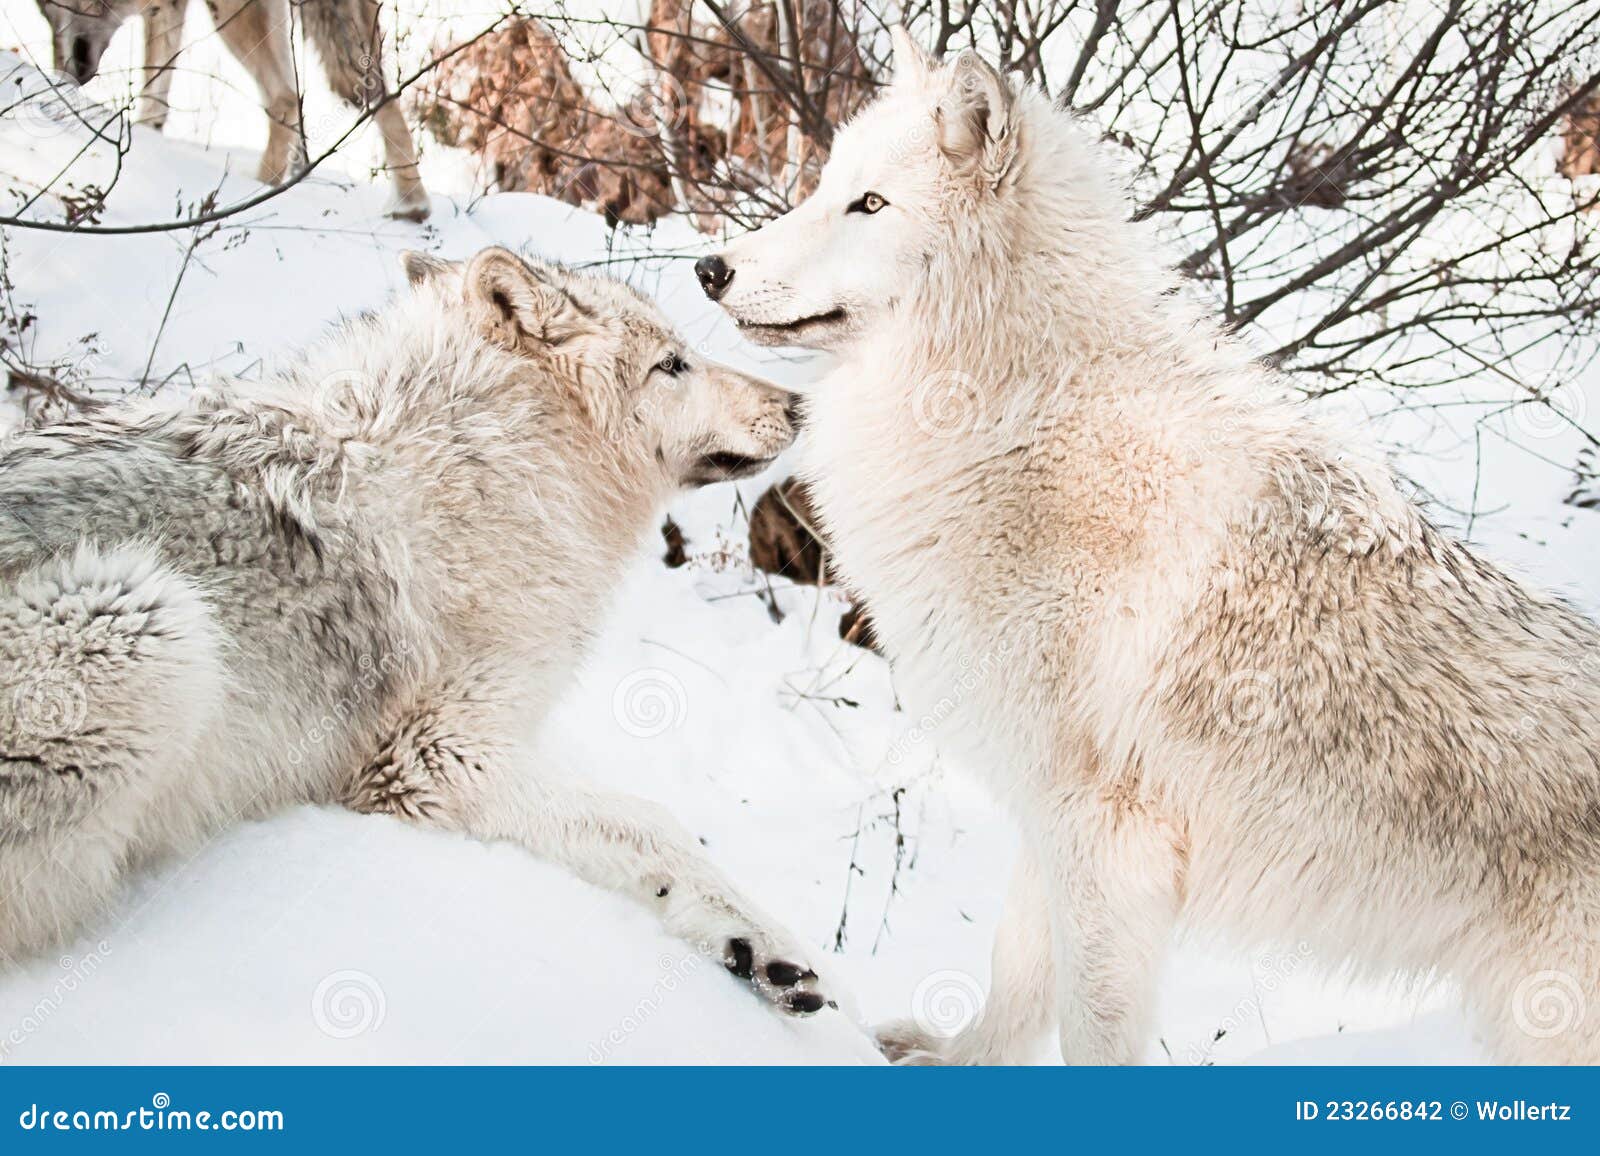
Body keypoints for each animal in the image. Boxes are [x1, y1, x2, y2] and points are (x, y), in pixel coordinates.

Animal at [0, 246, 833, 1017]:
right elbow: (655, 823)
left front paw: (748, 949)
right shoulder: (432, 752)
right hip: (146, 615)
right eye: (672, 364)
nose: (800, 406)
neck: (494, 462)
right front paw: (771, 942)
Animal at [32, 0, 430, 219]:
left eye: (48, 11)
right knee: (383, 96)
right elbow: (156, 92)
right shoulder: (170, 7)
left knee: (285, 97)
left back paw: (257, 192)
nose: (66, 76)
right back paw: (411, 204)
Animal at [697, 28, 1600, 1063]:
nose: (710, 268)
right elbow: (1013, 983)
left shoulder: (1108, 839)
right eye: (825, 188)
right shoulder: (1050, 818)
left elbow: (1090, 1032)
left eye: (870, 205)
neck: (1016, 418)